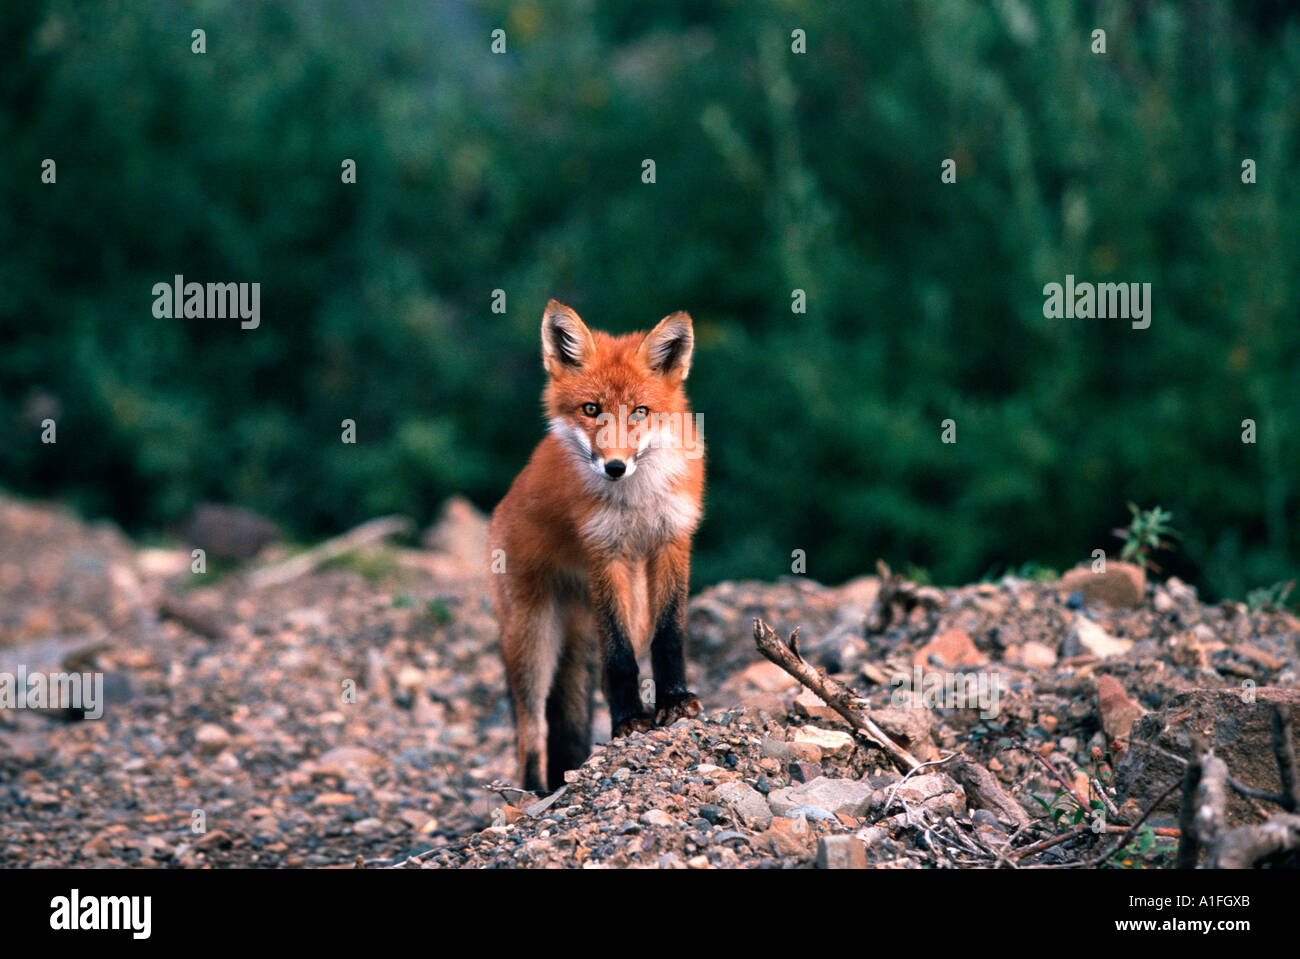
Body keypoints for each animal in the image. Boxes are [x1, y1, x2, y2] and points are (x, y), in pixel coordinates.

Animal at [490, 300, 706, 793]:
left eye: (640, 411)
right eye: (591, 409)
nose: (614, 466)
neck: (637, 500)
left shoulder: (672, 541)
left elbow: (670, 637)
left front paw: (673, 701)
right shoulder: (604, 552)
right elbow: (620, 657)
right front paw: (628, 721)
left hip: (627, 609)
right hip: (532, 638)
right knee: (532, 729)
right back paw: (533, 792)